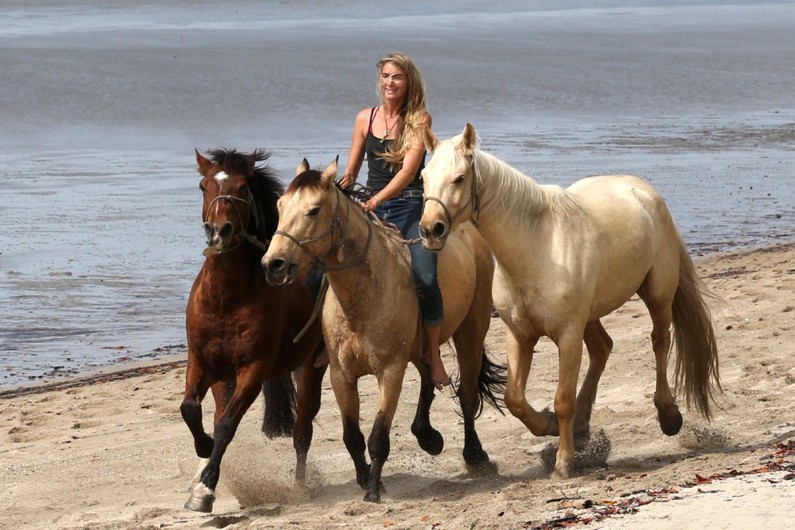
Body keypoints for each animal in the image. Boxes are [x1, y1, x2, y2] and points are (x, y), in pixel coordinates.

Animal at [180, 148, 327, 512]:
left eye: (244, 187)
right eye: (203, 186)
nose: (219, 230)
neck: (225, 299)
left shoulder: (253, 369)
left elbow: (227, 425)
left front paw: (206, 489)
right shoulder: (203, 363)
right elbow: (191, 410)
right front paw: (203, 458)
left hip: (311, 367)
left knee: (302, 431)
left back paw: (300, 487)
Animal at [262, 158, 505, 503]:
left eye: (313, 210)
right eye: (280, 205)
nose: (274, 264)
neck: (362, 295)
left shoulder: (390, 372)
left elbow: (378, 436)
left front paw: (374, 491)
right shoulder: (340, 375)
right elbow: (351, 435)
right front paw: (365, 479)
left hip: (471, 331)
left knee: (468, 395)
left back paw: (475, 456)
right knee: (428, 375)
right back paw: (428, 436)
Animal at [418, 123, 721, 479]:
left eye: (460, 177)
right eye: (423, 177)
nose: (431, 230)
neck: (536, 248)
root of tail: (645, 192)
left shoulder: (567, 336)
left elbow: (563, 400)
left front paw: (563, 463)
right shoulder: (520, 336)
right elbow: (514, 399)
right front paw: (549, 425)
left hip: (657, 294)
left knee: (660, 341)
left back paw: (668, 415)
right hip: (591, 316)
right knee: (603, 348)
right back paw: (583, 426)